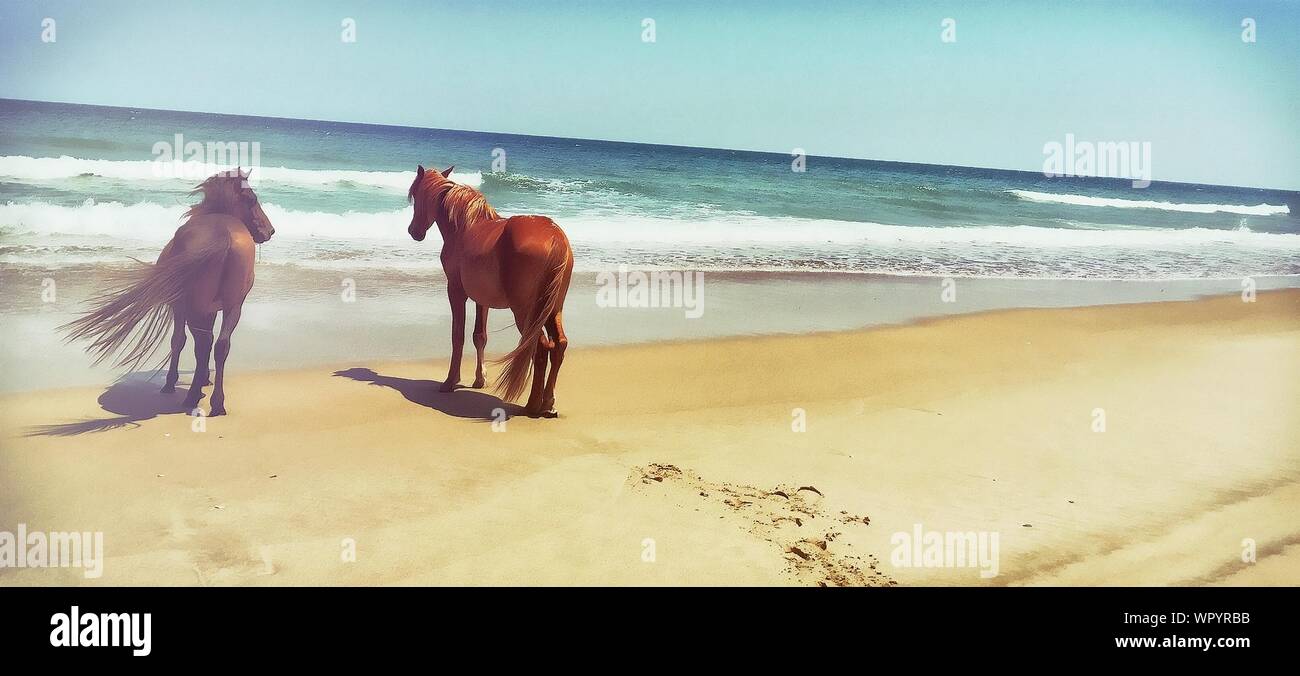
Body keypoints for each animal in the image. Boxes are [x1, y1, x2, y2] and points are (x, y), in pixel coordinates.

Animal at [60, 168, 274, 417]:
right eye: (253, 199)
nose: (270, 231)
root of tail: (223, 236)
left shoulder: (180, 307)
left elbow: (178, 341)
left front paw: (174, 382)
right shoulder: (208, 309)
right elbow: (198, 341)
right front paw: (201, 380)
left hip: (197, 307)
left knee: (202, 345)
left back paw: (193, 396)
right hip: (232, 306)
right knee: (220, 345)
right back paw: (216, 402)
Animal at [407, 164, 574, 418]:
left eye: (416, 195)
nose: (414, 231)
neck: (465, 227)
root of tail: (554, 237)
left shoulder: (456, 292)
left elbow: (457, 336)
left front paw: (450, 381)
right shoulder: (481, 299)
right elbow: (480, 336)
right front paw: (480, 379)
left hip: (526, 313)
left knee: (541, 347)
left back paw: (533, 405)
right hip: (553, 309)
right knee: (559, 345)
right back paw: (548, 403)